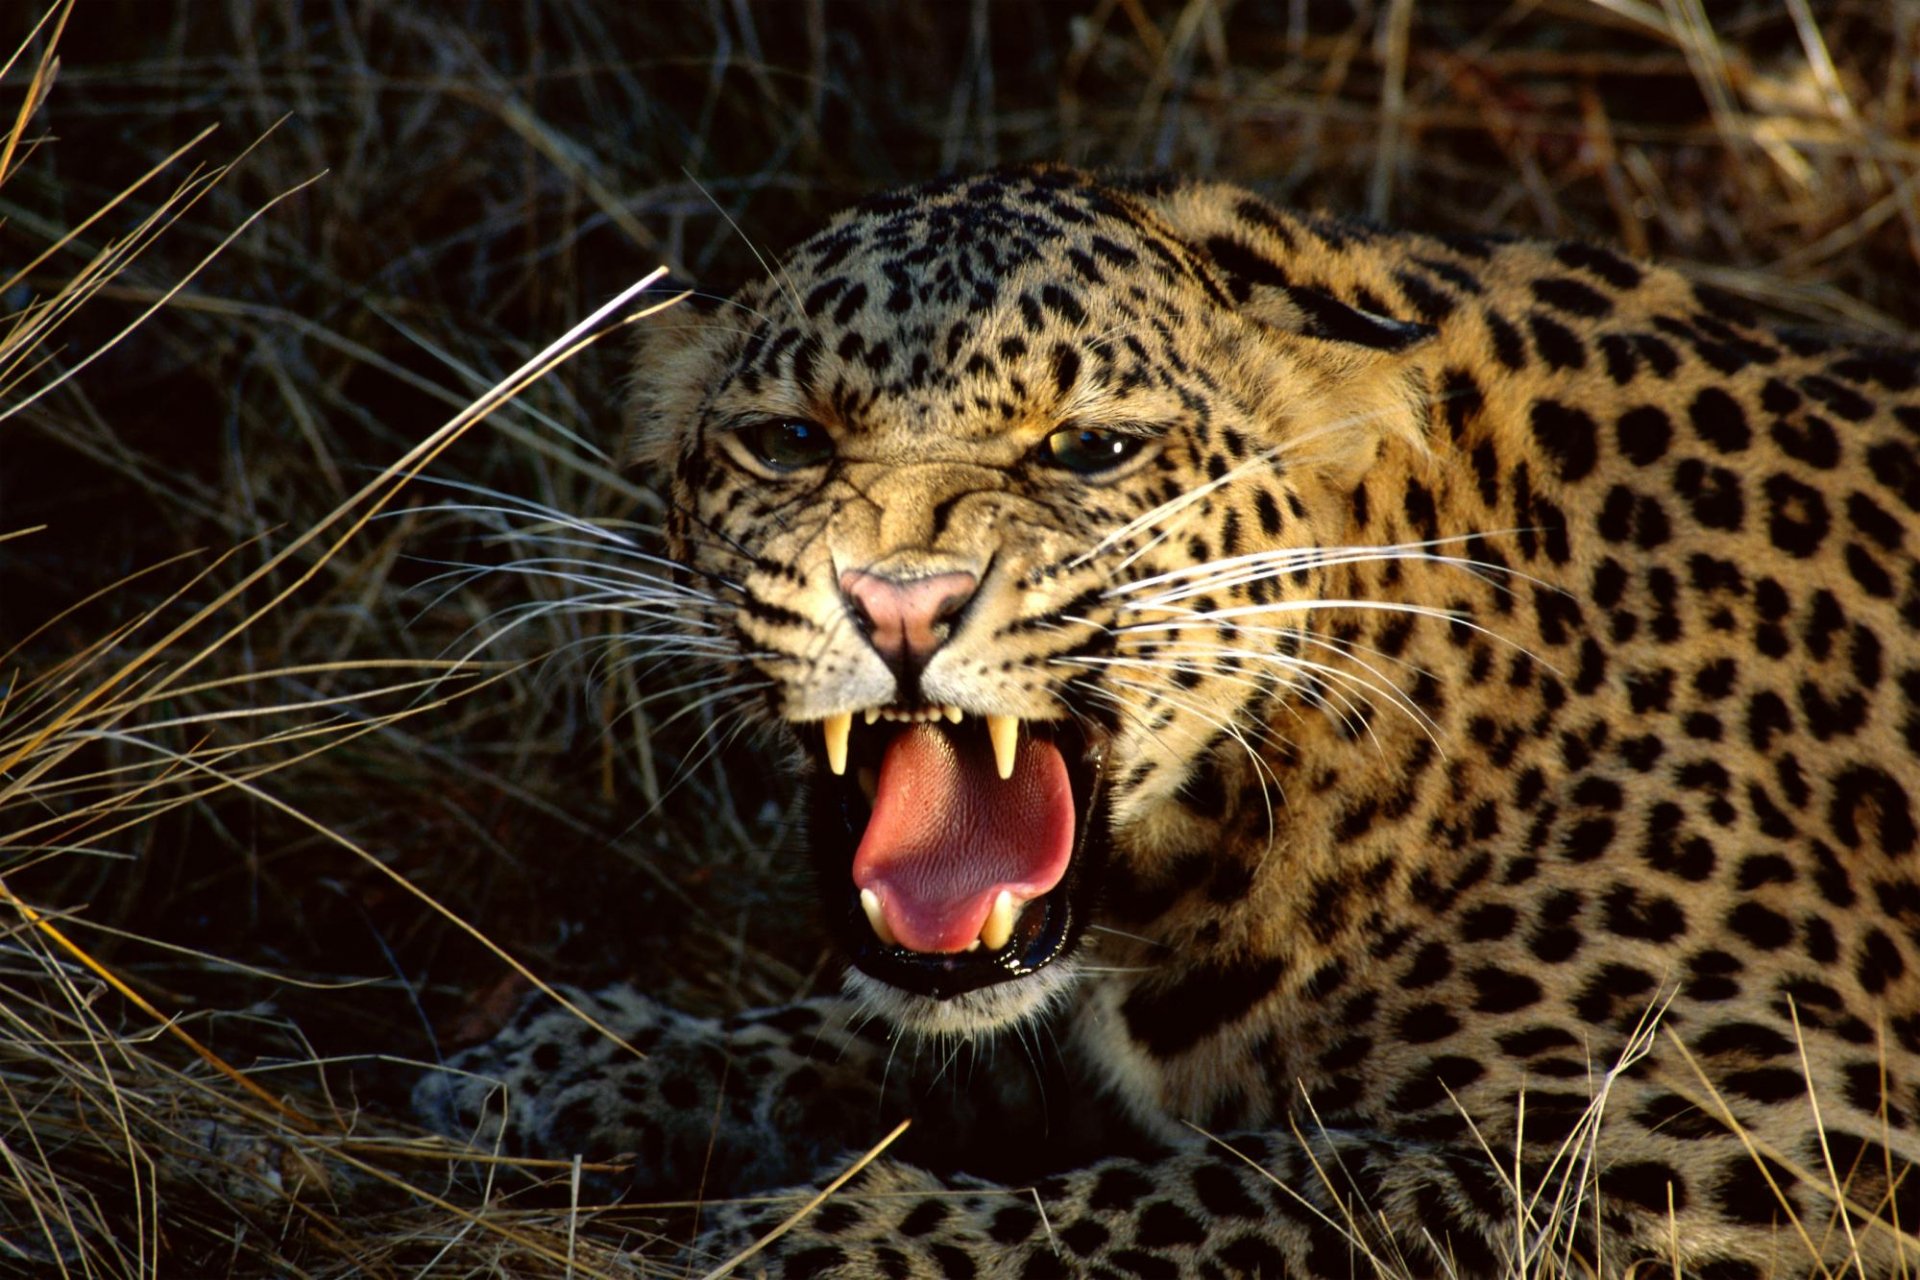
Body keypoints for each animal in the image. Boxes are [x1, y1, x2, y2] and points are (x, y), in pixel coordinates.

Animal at [416, 164, 1920, 1278]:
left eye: (1092, 450)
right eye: (790, 443)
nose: (901, 604)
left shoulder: (1767, 1141)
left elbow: (1271, 1188)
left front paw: (818, 1233)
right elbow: (914, 1033)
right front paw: (589, 1058)